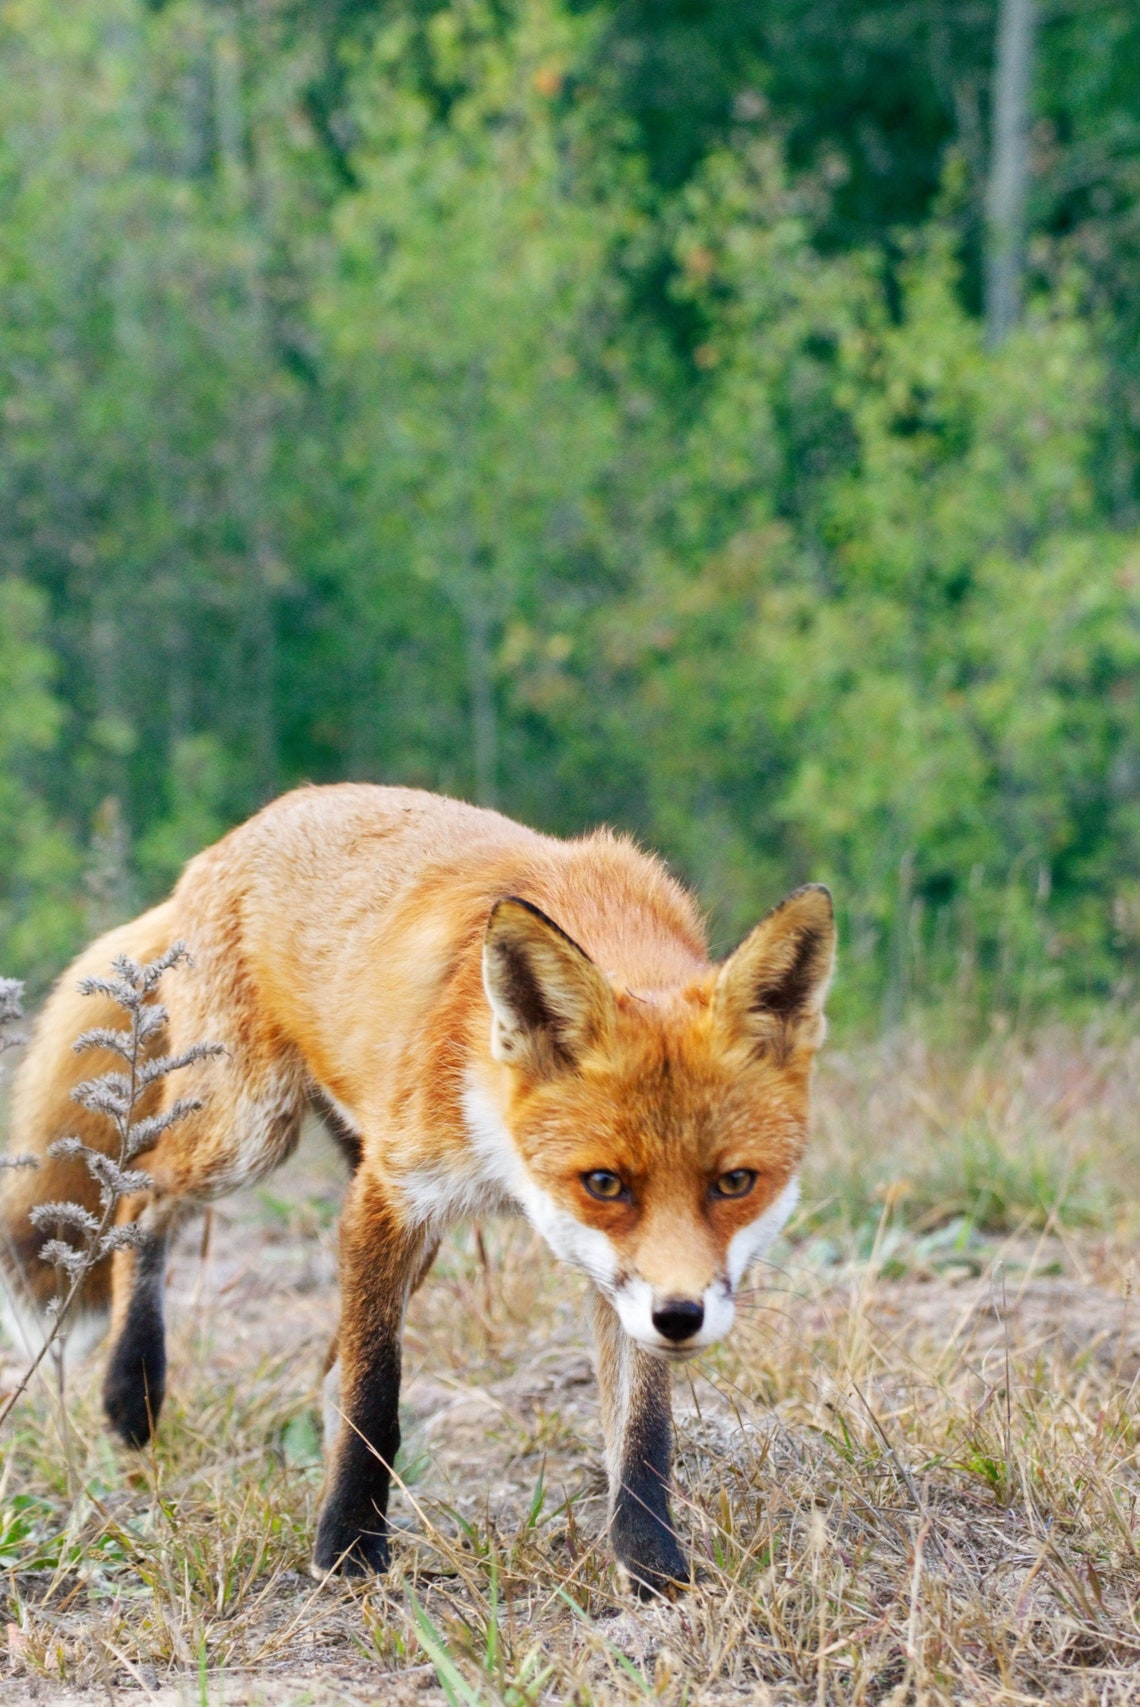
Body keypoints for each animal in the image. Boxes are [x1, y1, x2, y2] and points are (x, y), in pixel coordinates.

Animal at [1, 784, 834, 1593]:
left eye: (734, 1182)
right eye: (604, 1182)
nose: (680, 1318)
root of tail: (224, 845)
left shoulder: (604, 1271)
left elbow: (642, 1431)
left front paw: (652, 1567)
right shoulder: (391, 1198)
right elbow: (376, 1398)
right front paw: (348, 1548)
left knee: (325, 1356)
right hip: (248, 1134)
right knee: (141, 1194)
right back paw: (131, 1386)